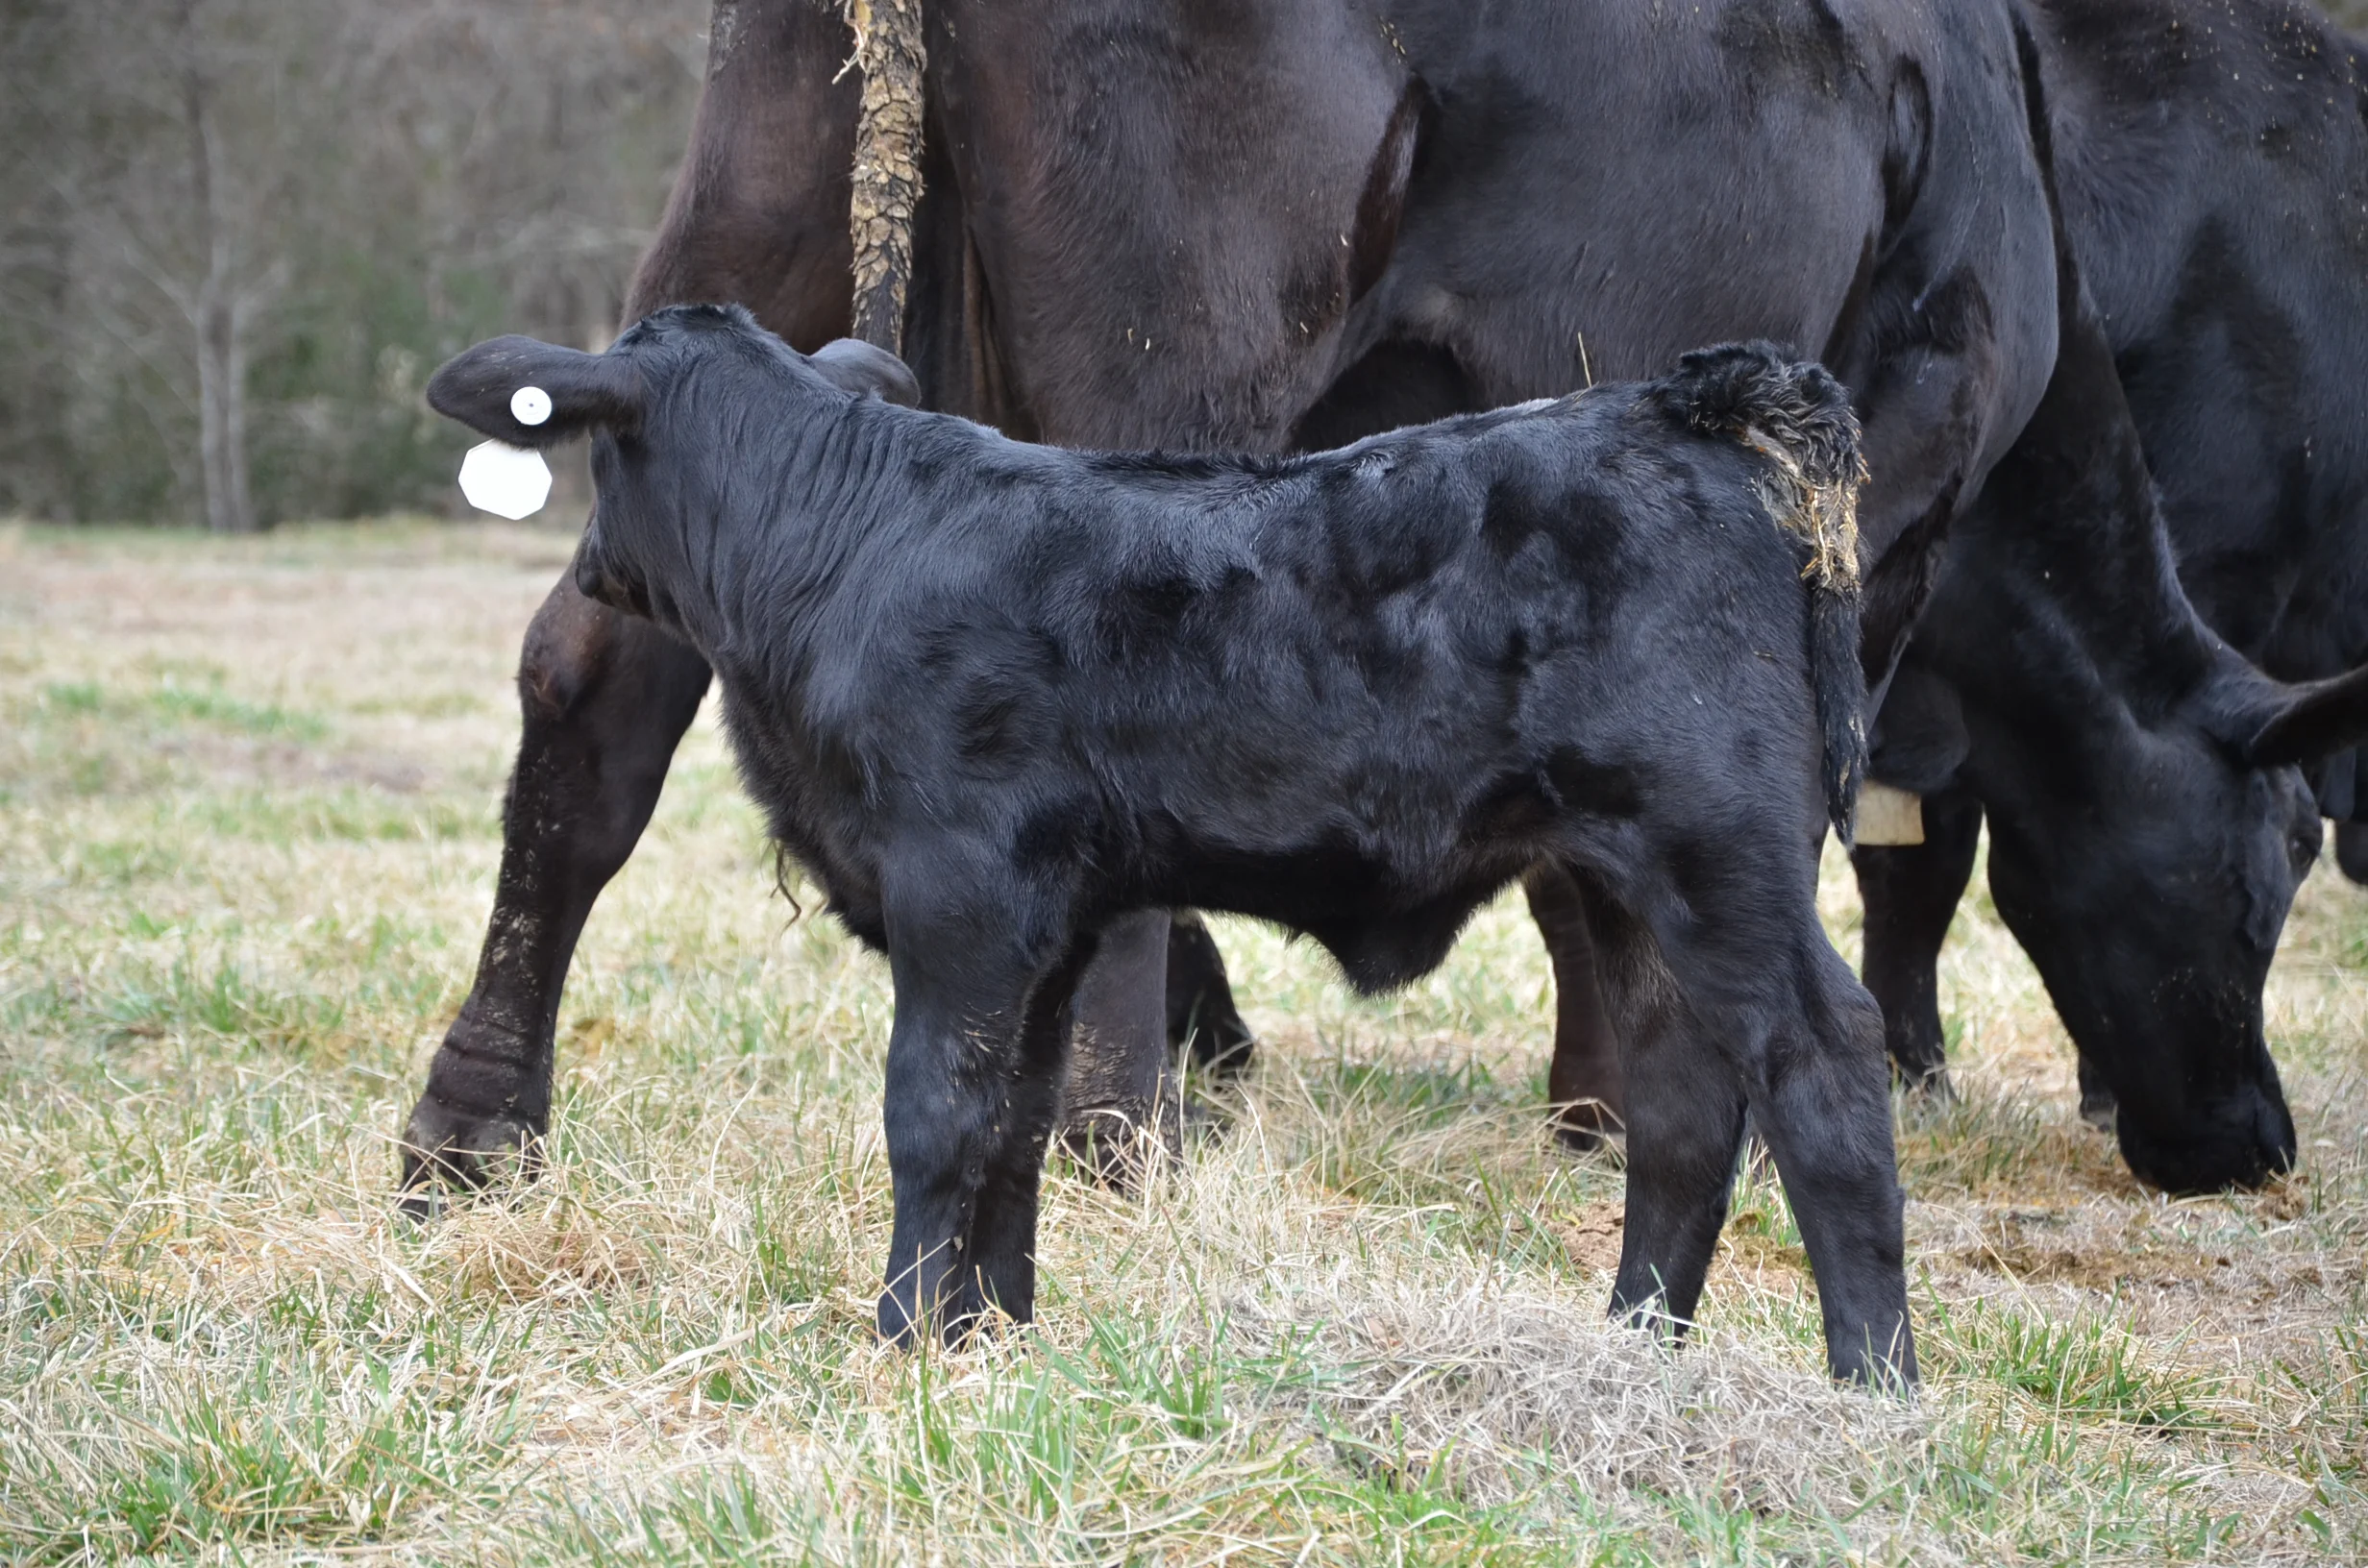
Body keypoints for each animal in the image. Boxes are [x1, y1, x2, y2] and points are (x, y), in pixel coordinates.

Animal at [425, 306, 1916, 1385]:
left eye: (601, 452)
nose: (590, 567)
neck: (842, 549)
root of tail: (1677, 406)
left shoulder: (962, 889)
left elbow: (935, 1111)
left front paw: (902, 1342)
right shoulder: (1057, 919)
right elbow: (1016, 1122)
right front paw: (992, 1334)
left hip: (1719, 854)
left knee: (1824, 1059)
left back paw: (1872, 1385)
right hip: (1621, 880)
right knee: (1681, 1108)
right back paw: (1633, 1354)